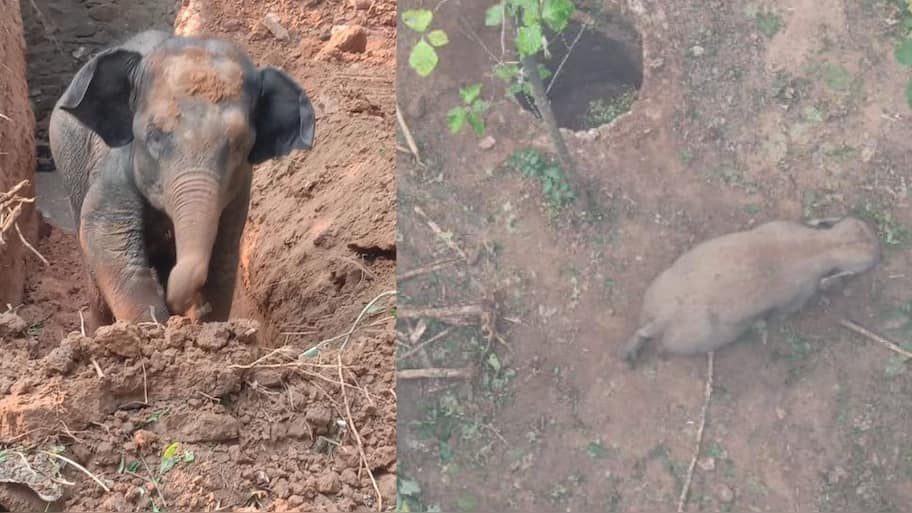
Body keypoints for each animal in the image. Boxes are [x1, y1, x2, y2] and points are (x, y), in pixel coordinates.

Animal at [49, 30, 315, 331]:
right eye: (154, 136)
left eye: (239, 145)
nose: (177, 306)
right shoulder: (114, 172)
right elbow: (107, 238)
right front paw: (153, 327)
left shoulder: (239, 194)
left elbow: (223, 257)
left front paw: (206, 326)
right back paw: (98, 330)